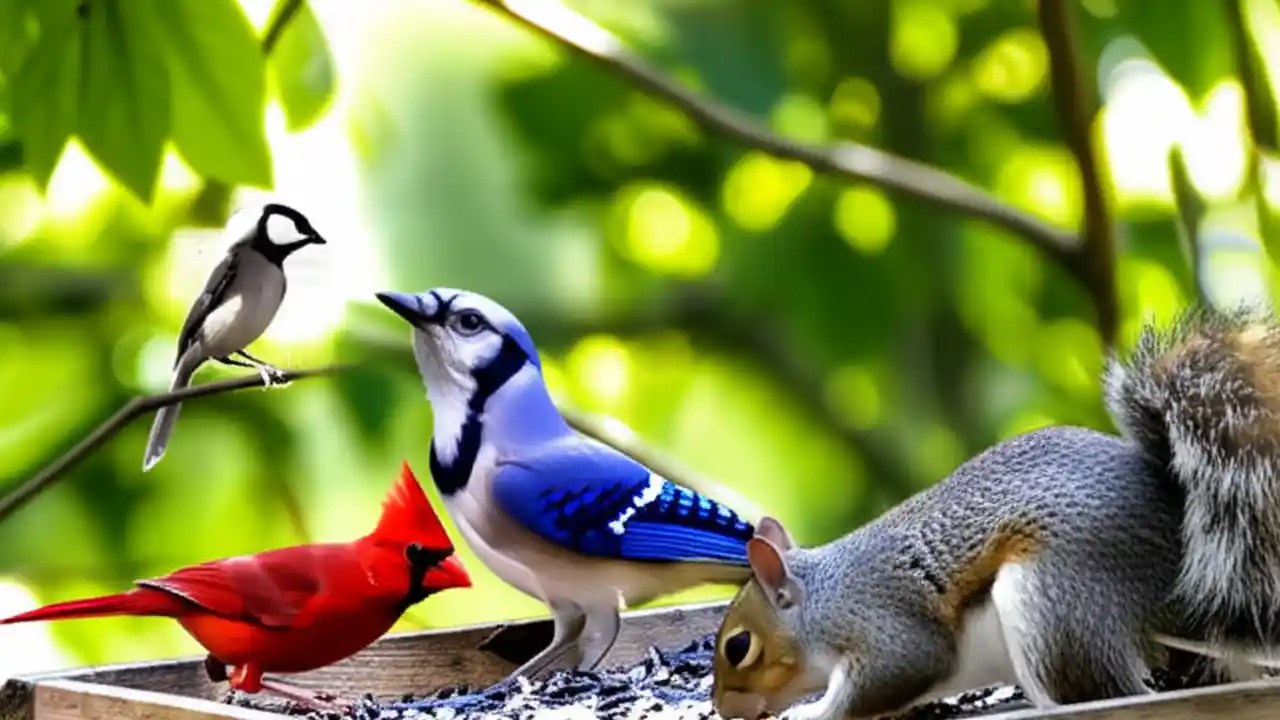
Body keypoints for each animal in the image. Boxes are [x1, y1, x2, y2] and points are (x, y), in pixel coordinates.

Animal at [711, 307, 1280, 720]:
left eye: (738, 646)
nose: (724, 708)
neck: (820, 599)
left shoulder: (879, 623)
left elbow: (895, 671)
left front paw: (810, 714)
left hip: (1054, 602)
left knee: (1107, 692)